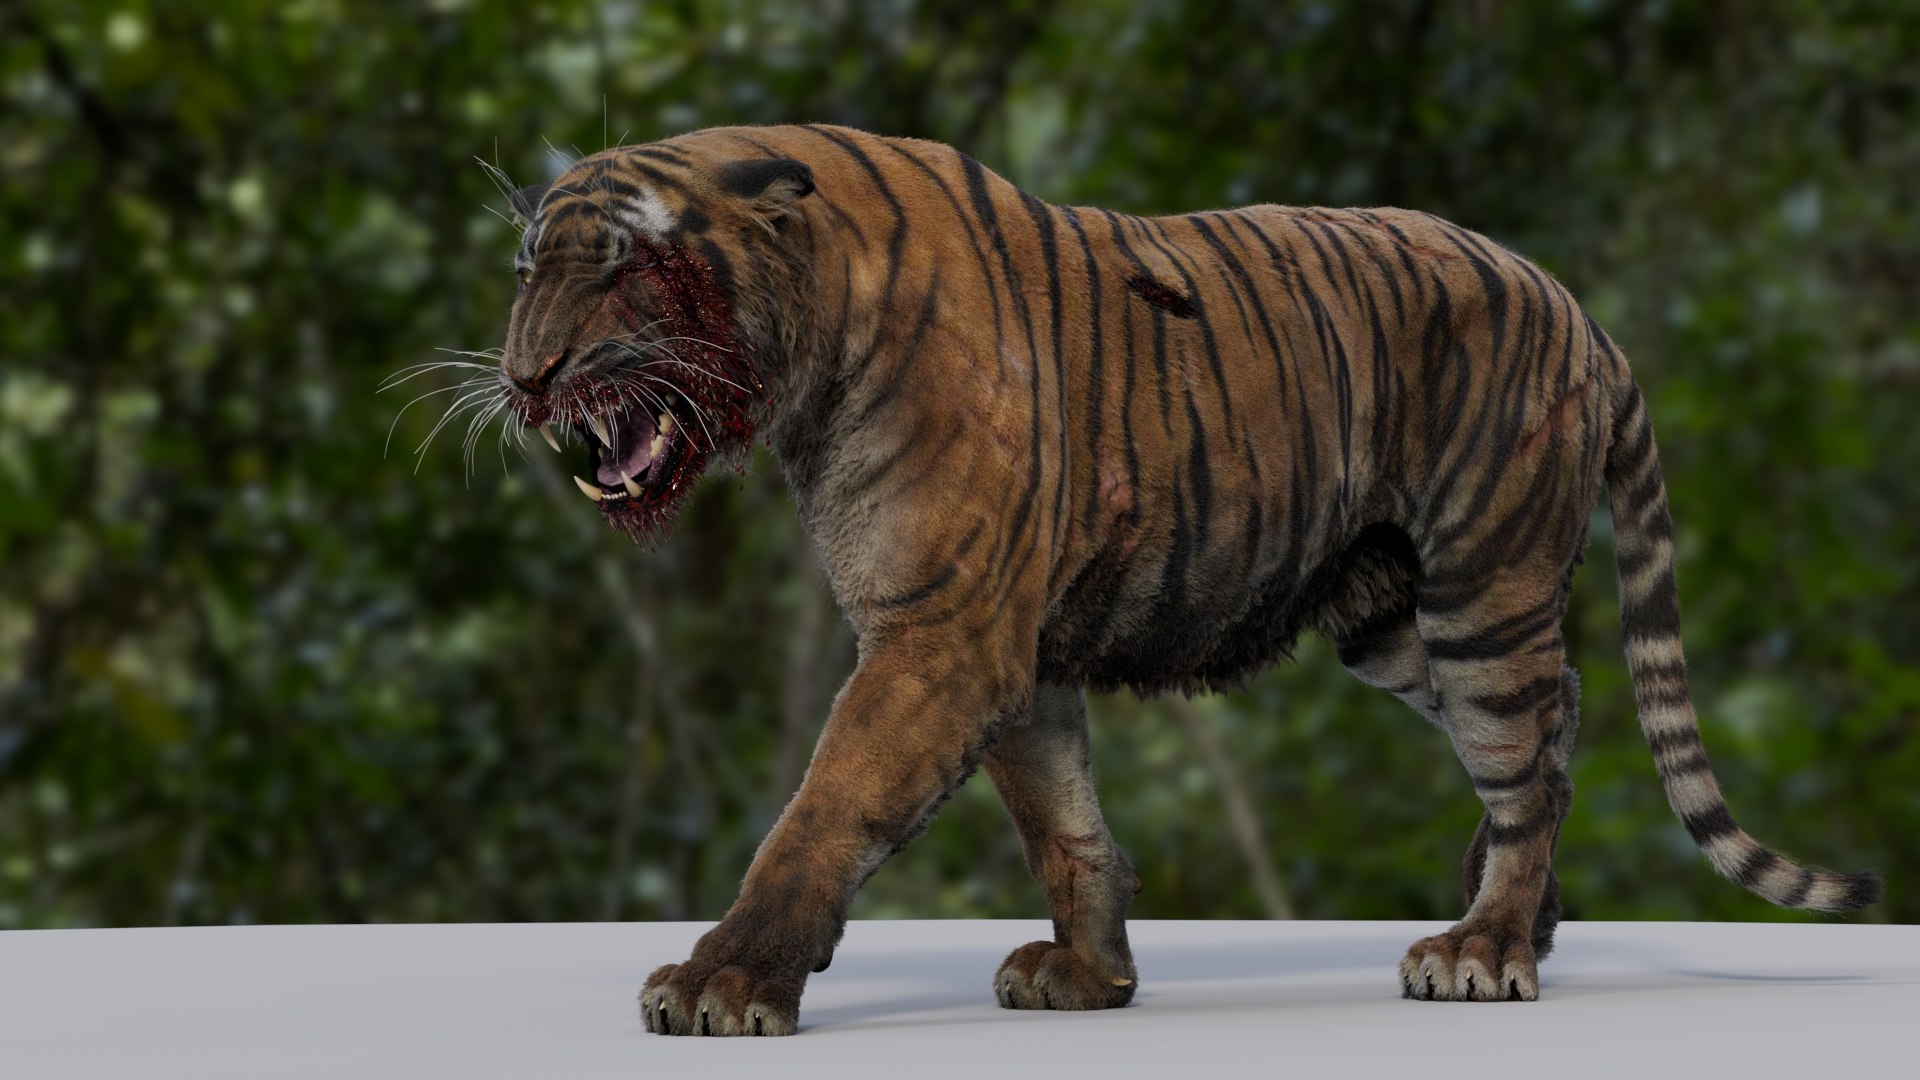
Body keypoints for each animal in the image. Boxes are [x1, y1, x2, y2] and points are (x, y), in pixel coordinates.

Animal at [489, 123, 1879, 1035]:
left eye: (622, 265)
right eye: (527, 269)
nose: (523, 378)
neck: (808, 352)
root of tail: (1578, 308)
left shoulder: (942, 631)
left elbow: (826, 806)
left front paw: (720, 982)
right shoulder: (1014, 645)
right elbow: (1062, 819)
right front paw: (1092, 976)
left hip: (1482, 587)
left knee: (1526, 759)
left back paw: (1486, 949)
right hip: (1389, 615)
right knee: (1560, 719)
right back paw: (1519, 922)